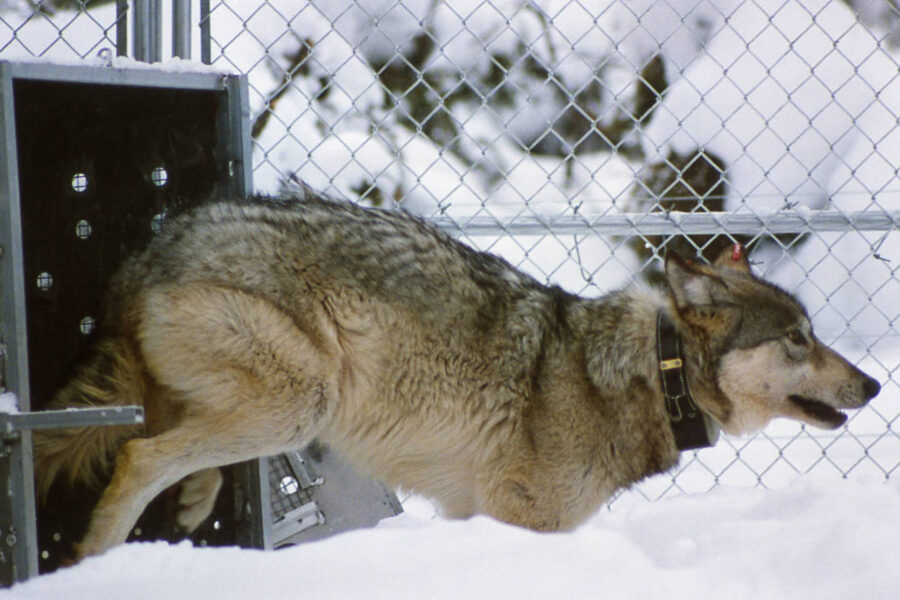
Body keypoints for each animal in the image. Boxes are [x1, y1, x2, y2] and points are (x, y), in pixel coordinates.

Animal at [33, 194, 881, 561]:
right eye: (799, 339)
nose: (873, 386)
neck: (649, 373)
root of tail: (153, 249)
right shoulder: (526, 517)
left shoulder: (476, 510)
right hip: (300, 403)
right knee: (137, 455)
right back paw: (96, 564)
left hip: (273, 404)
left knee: (168, 445)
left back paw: (192, 502)